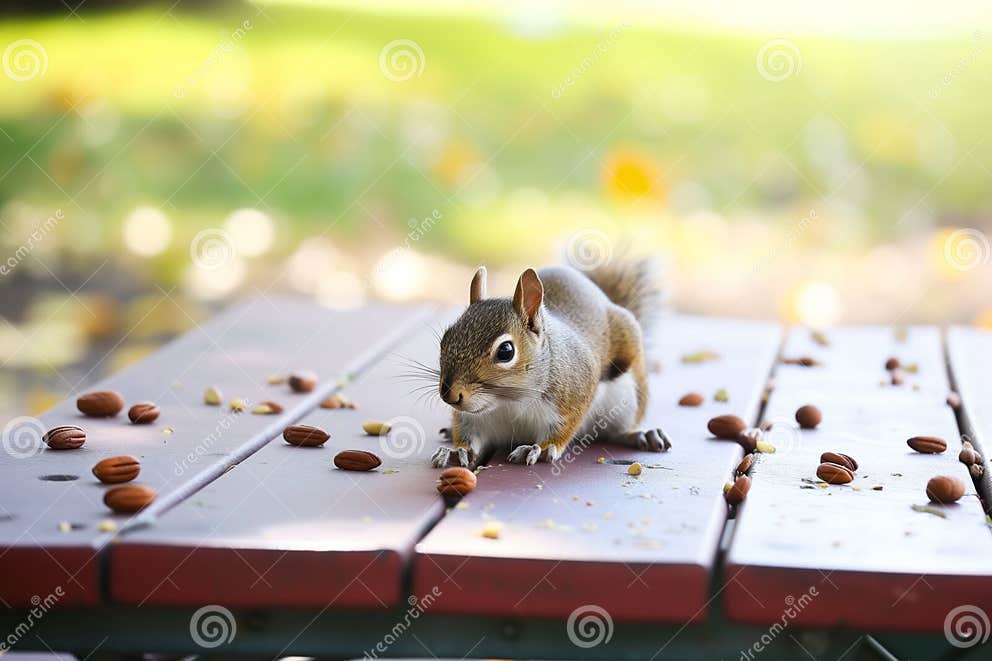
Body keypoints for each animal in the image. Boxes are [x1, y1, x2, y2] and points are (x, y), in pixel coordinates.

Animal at [430, 259, 667, 468]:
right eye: (445, 339)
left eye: (506, 351)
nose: (450, 395)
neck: (508, 401)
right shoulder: (473, 419)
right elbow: (468, 434)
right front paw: (458, 451)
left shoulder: (574, 393)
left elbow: (563, 428)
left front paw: (540, 448)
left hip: (629, 395)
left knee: (617, 430)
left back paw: (641, 435)